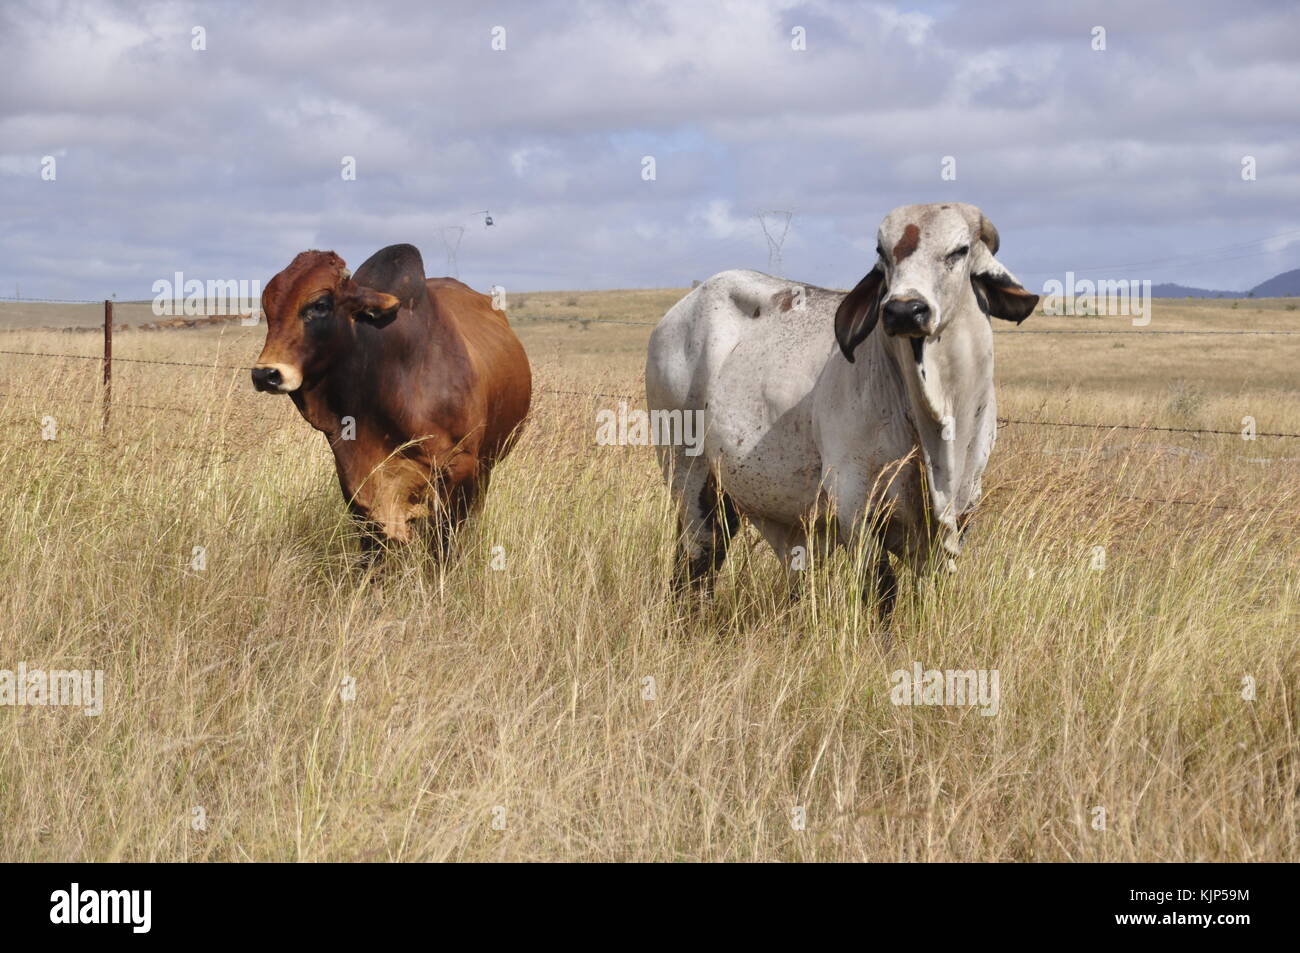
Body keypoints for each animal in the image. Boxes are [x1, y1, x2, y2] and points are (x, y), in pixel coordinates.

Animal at [252, 243, 532, 557]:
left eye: (321, 304)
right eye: (268, 305)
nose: (265, 374)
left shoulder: (461, 467)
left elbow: (443, 546)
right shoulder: (354, 473)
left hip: (486, 464)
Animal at [644, 203, 1038, 617]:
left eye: (959, 250)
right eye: (882, 253)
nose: (903, 311)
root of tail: (682, 309)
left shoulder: (963, 507)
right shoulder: (855, 499)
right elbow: (882, 589)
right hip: (687, 472)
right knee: (698, 555)